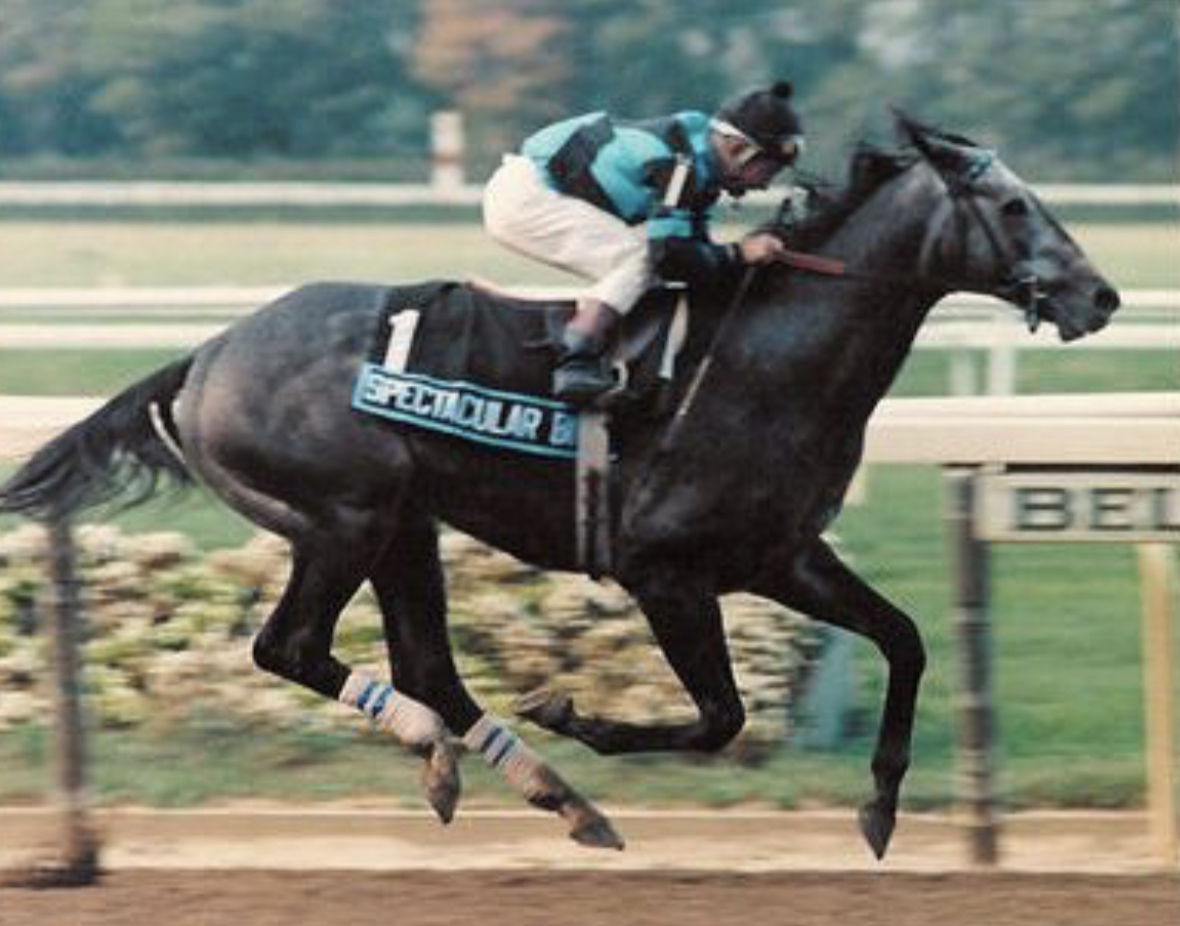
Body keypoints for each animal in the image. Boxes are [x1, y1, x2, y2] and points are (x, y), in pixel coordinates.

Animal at [0, 113, 1120, 857]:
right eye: (1013, 204)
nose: (1100, 294)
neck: (768, 356)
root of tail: (207, 355)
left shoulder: (780, 554)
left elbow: (906, 638)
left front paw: (881, 805)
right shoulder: (665, 570)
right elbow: (720, 716)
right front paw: (573, 709)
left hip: (405, 524)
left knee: (426, 665)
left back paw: (549, 791)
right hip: (341, 516)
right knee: (293, 648)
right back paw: (472, 756)